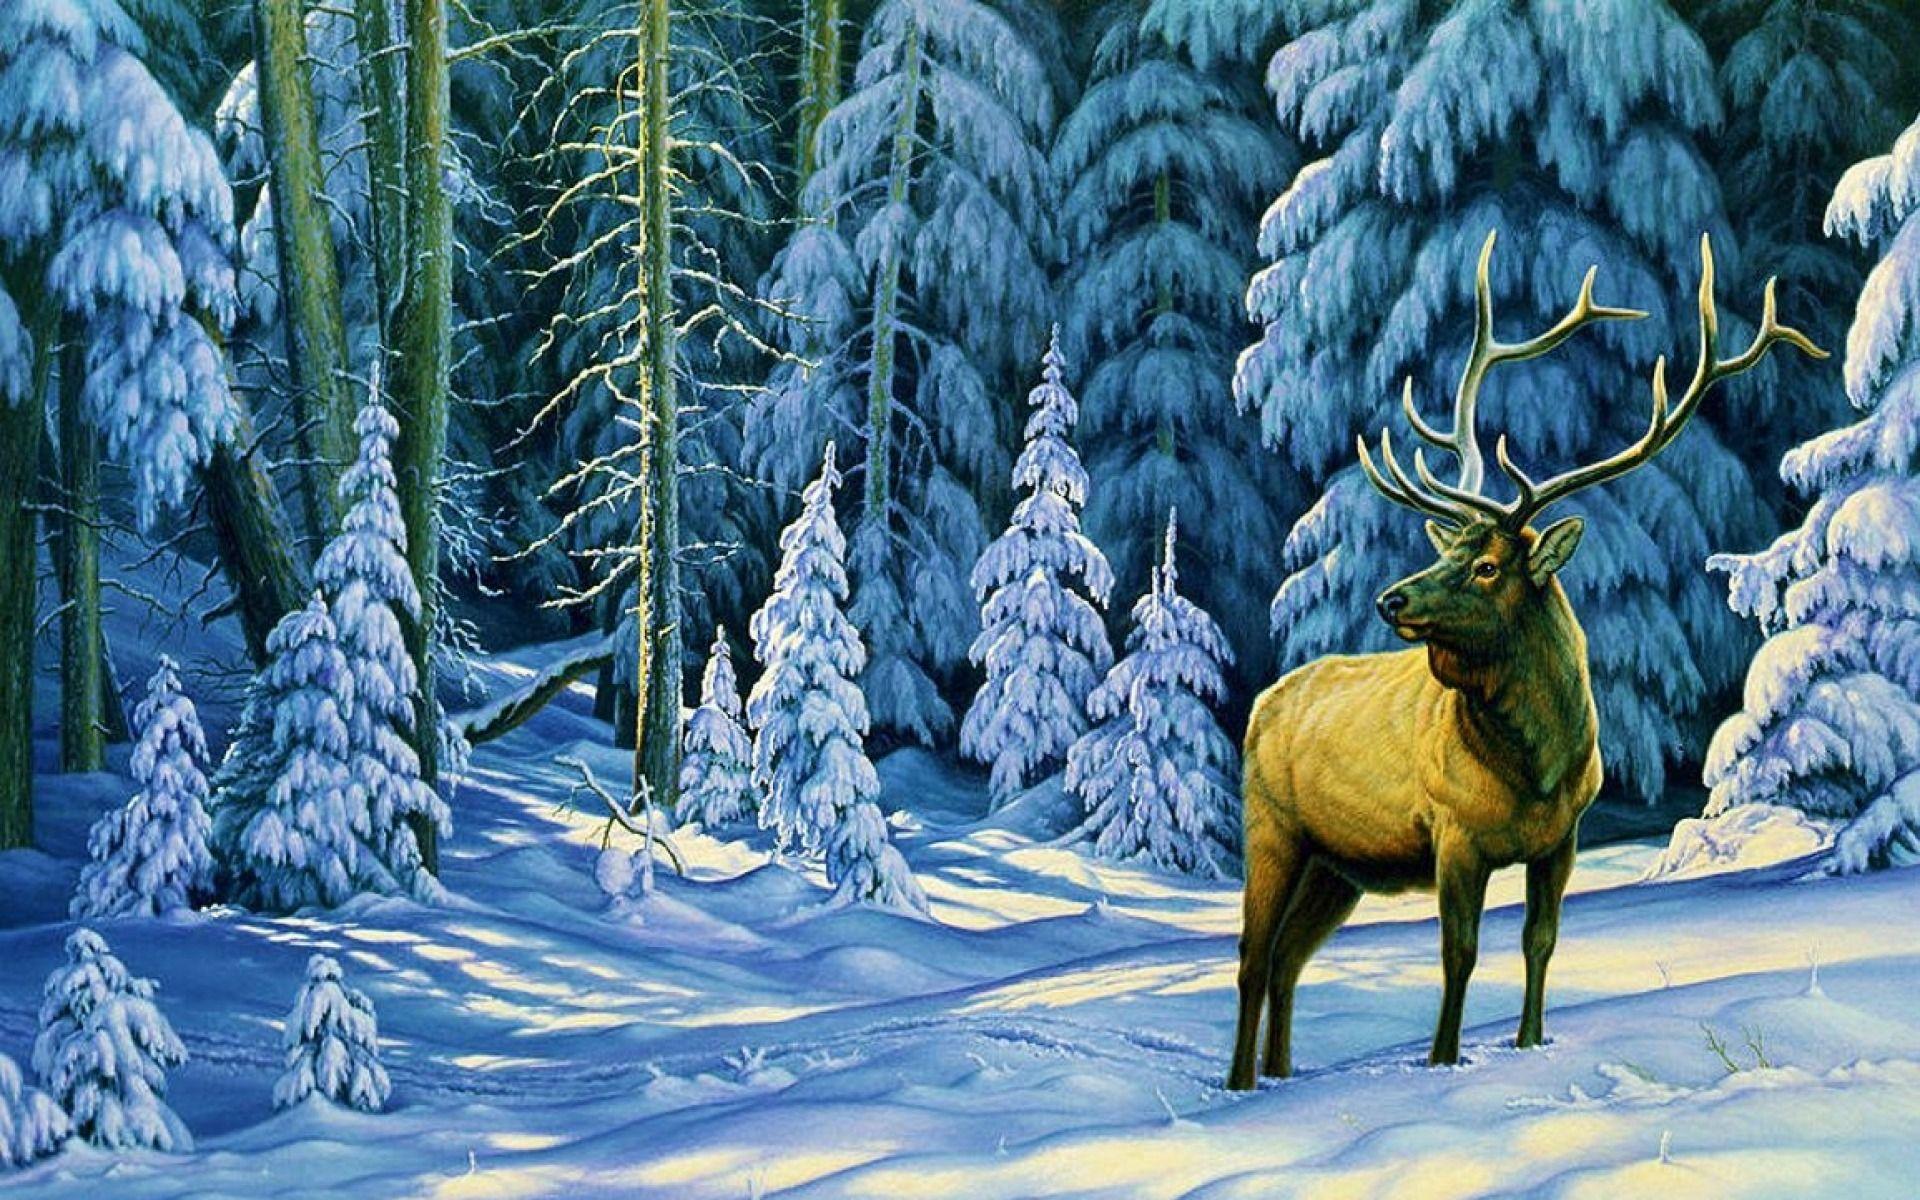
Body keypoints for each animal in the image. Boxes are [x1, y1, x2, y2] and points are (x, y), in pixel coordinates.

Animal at [1226, 232, 1825, 1091]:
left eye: (1485, 566)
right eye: (1447, 552)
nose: (1390, 599)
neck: (1535, 767)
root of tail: (1263, 702)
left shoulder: (1560, 839)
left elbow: (1538, 942)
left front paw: (1531, 1042)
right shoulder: (1453, 836)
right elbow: (1459, 954)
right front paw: (1444, 1059)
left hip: (1337, 866)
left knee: (1286, 961)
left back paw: (1275, 1077)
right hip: (1272, 828)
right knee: (1249, 957)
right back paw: (1241, 1084)